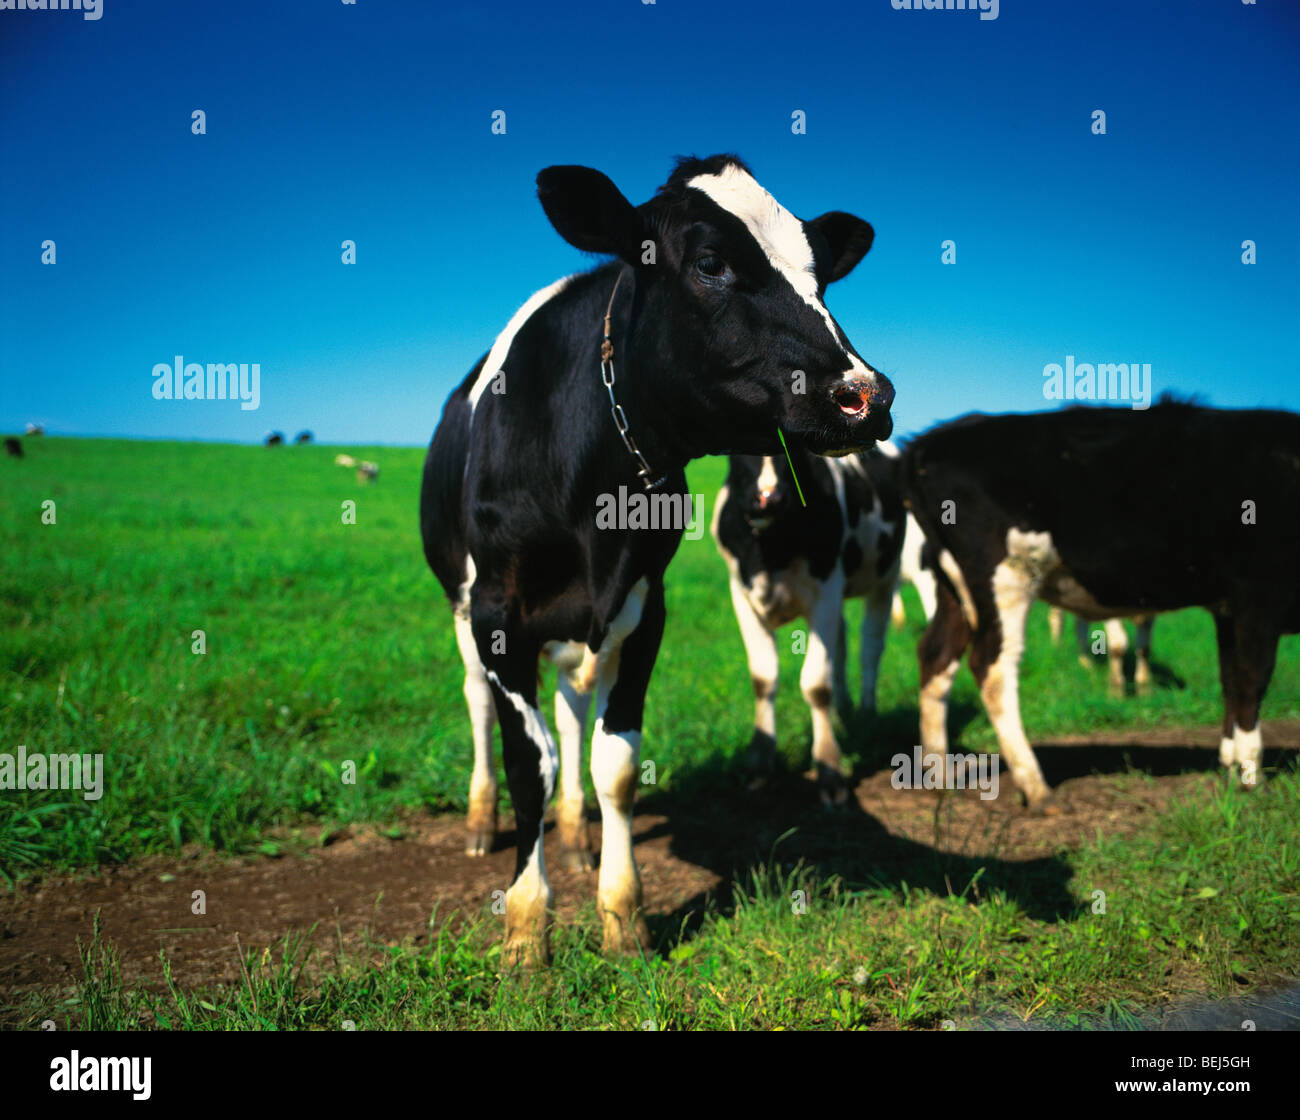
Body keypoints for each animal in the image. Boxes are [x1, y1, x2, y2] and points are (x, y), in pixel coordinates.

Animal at [711, 442, 905, 803]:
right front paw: (759, 764)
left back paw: (867, 713)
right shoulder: (740, 592)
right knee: (841, 644)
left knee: (870, 647)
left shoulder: (826, 588)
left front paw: (830, 771)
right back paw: (845, 711)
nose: (768, 498)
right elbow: (763, 678)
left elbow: (816, 684)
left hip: (886, 576)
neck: (770, 550)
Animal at [899, 400, 1300, 810]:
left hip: (952, 584)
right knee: (992, 667)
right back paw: (1035, 785)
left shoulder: (1227, 610)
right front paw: (1251, 776)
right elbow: (1251, 681)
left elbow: (1230, 681)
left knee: (935, 654)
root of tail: (931, 441)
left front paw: (1229, 764)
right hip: (1005, 574)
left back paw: (939, 775)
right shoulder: (1258, 597)